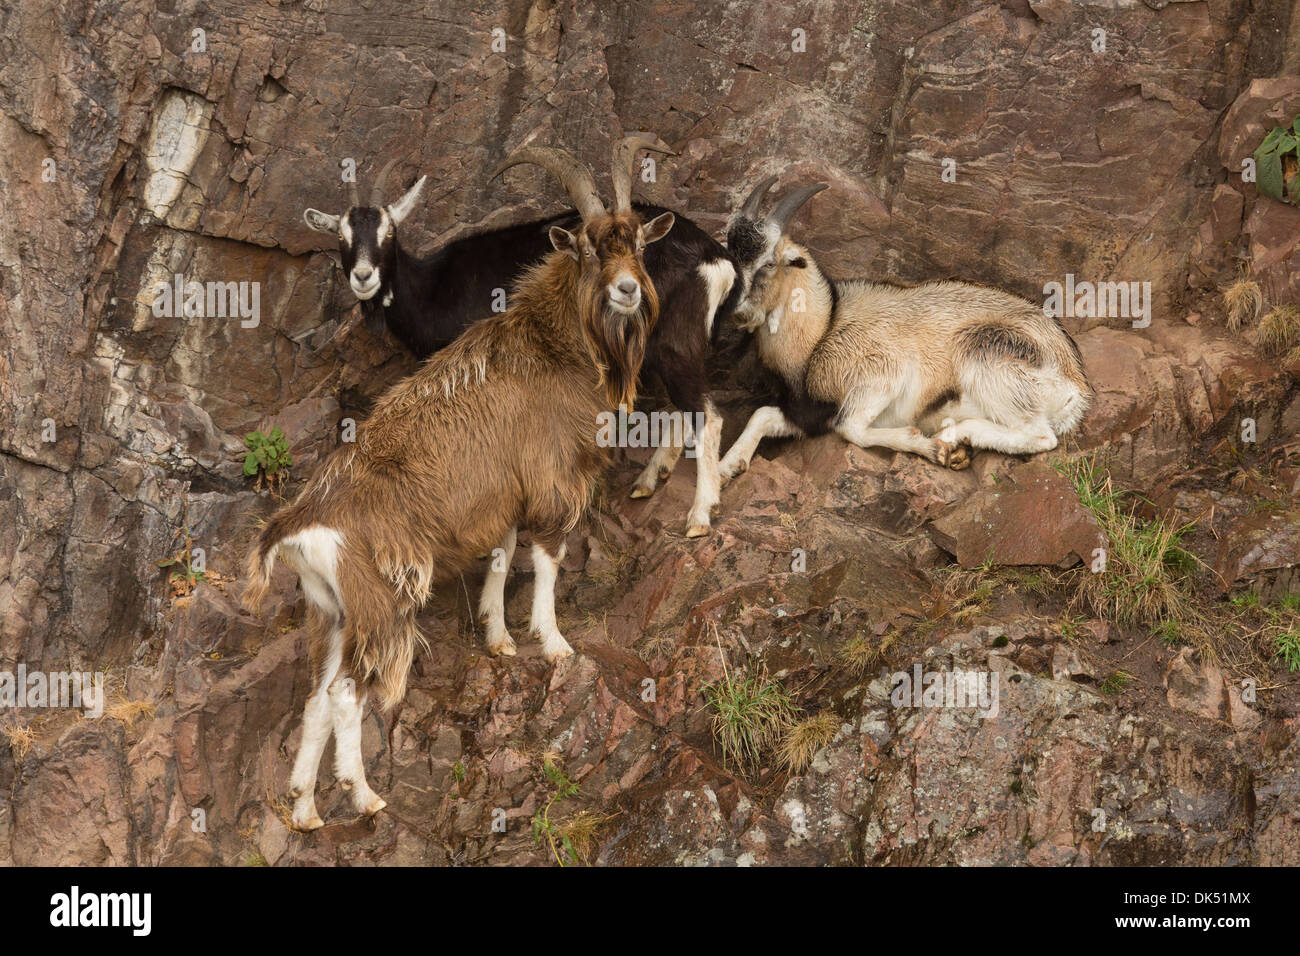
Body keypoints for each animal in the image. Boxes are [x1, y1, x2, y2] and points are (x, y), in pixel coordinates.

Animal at [245, 137, 675, 831]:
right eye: (587, 246)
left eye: (636, 240)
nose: (629, 290)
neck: (551, 347)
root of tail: (298, 524)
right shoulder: (551, 483)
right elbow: (546, 558)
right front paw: (554, 643)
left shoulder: (501, 500)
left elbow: (501, 557)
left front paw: (499, 640)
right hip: (381, 603)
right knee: (347, 692)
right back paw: (365, 795)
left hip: (329, 611)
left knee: (315, 695)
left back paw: (307, 809)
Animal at [304, 158, 741, 538]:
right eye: (341, 236)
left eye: (389, 234)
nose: (364, 277)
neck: (434, 287)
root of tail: (714, 257)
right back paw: (650, 479)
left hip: (675, 346)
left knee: (707, 414)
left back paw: (699, 515)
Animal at [718, 176, 1091, 482]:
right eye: (730, 255)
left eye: (768, 263)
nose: (729, 308)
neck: (823, 331)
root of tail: (1076, 384)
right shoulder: (807, 414)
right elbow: (762, 415)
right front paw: (725, 469)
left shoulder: (883, 373)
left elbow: (849, 427)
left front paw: (934, 448)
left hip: (987, 355)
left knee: (1040, 435)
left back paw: (955, 434)